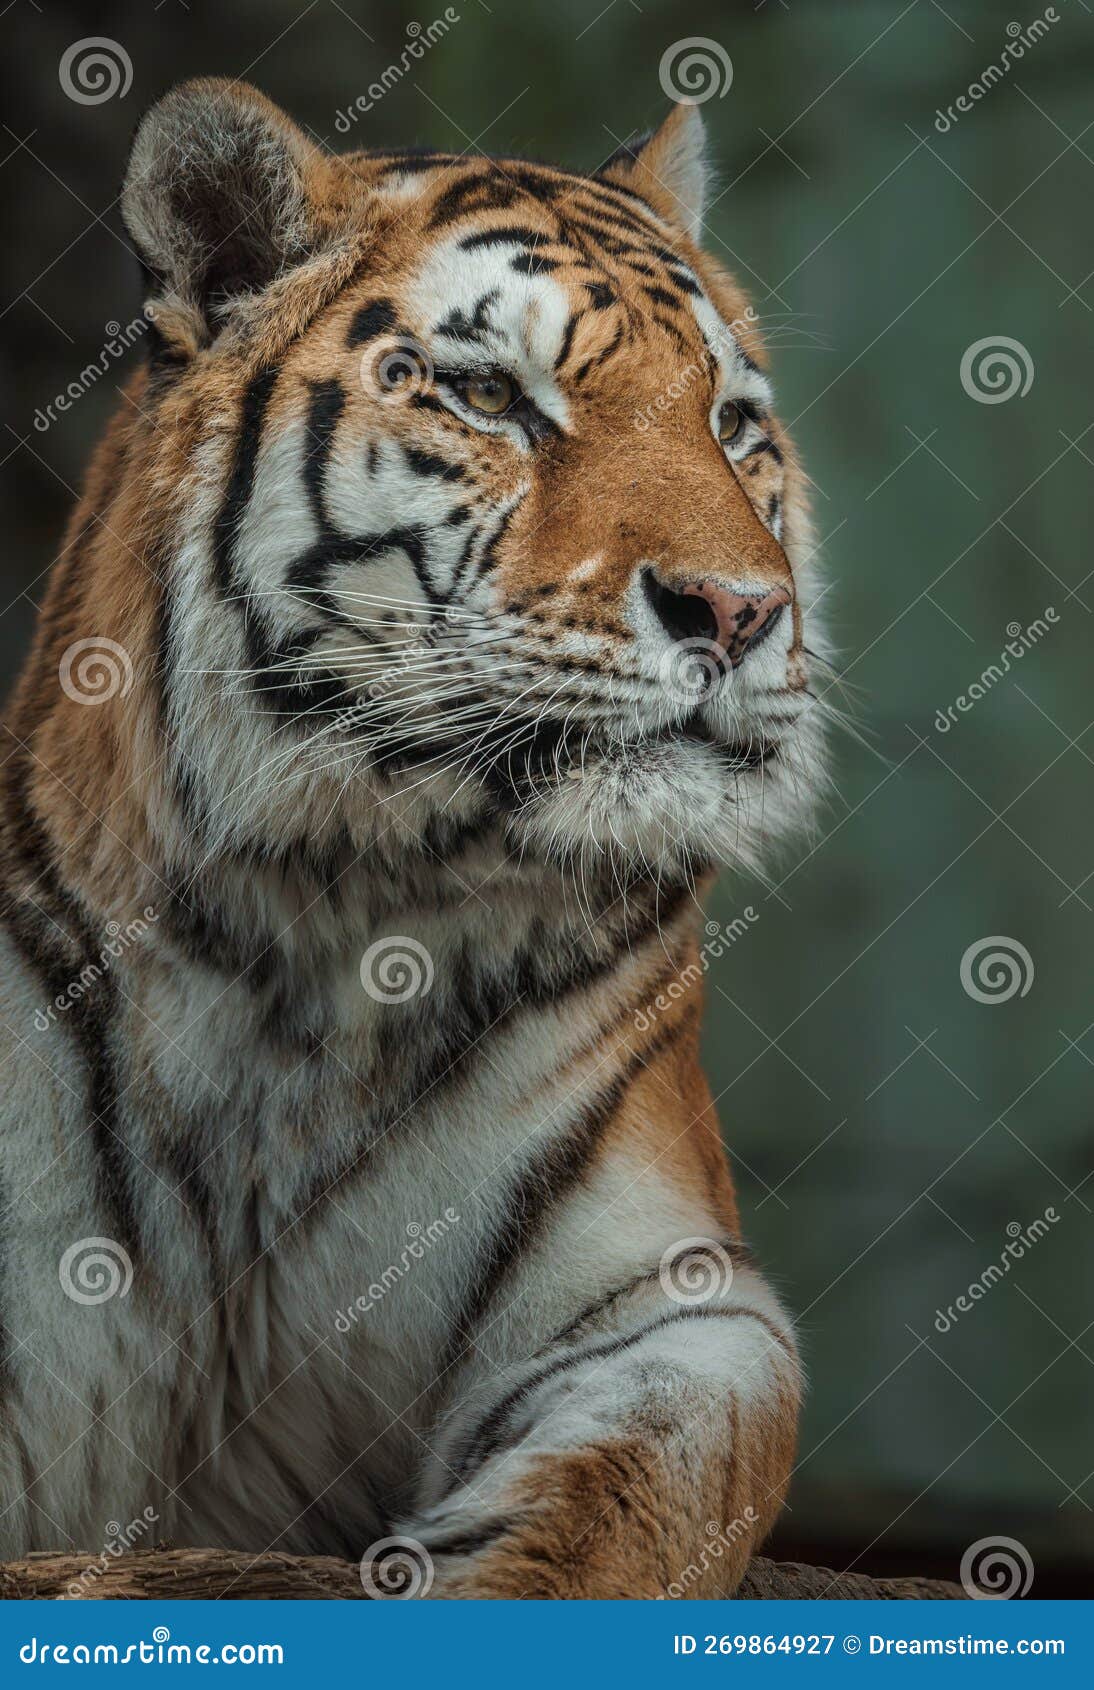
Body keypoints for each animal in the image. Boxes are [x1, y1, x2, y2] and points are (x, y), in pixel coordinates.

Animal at [0, 80, 828, 1598]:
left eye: (731, 420)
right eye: (489, 395)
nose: (740, 610)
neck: (322, 922)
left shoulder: (669, 1308)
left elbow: (620, 1500)